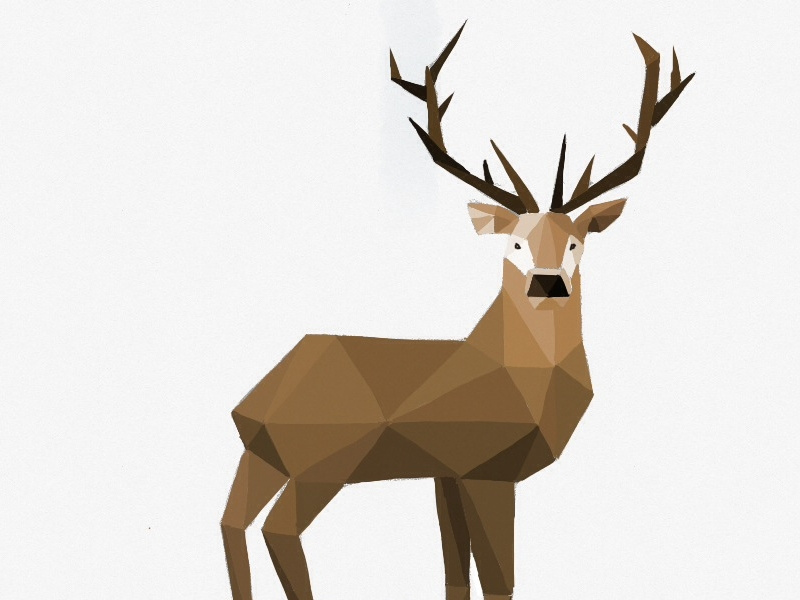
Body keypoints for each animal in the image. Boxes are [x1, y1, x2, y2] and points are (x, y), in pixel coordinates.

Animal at [221, 22, 693, 600]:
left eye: (577, 242)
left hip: (262, 455)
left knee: (232, 520)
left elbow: (453, 569)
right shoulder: (487, 468)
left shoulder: (446, 473)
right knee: (279, 528)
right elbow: (498, 578)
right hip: (321, 461)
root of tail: (256, 399)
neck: (517, 375)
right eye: (515, 243)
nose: (548, 283)